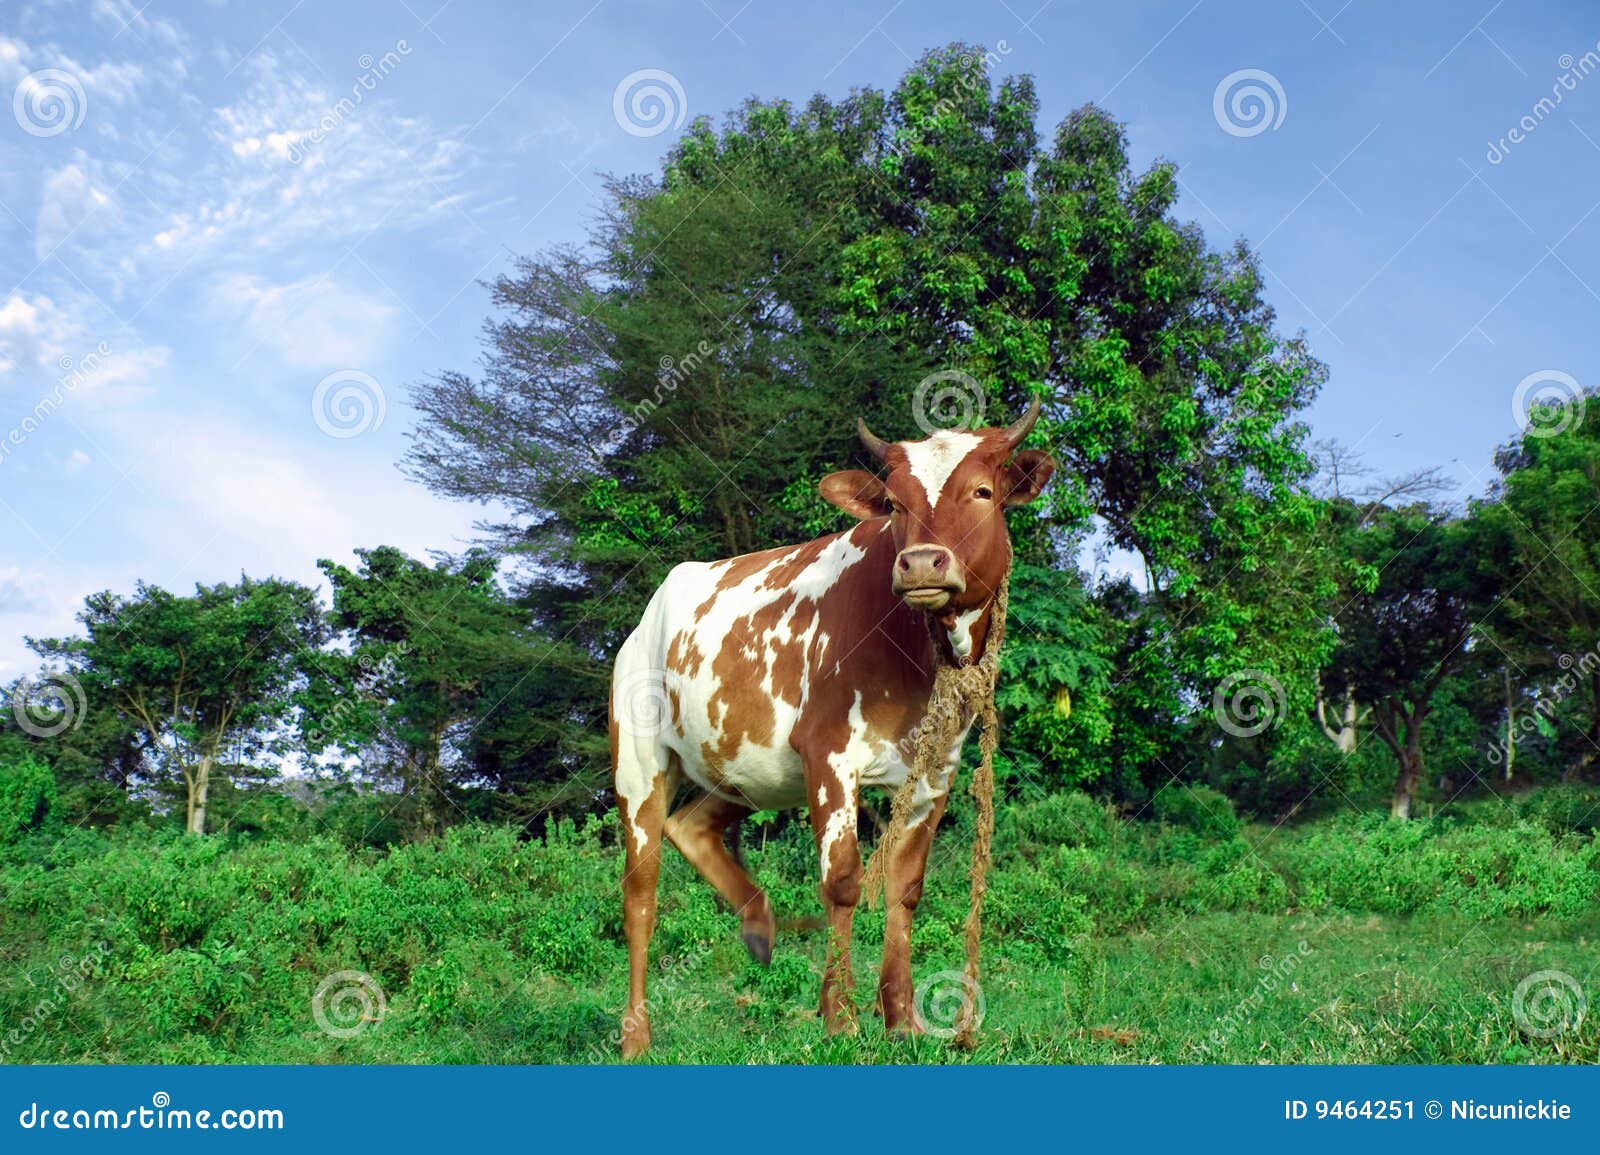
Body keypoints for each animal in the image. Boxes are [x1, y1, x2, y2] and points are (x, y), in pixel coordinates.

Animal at [609, 400, 1054, 1056]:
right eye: (893, 503)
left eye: (982, 491)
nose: (920, 563)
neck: (918, 654)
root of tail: (648, 616)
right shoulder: (829, 756)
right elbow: (842, 882)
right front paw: (839, 1015)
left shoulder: (935, 770)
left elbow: (904, 887)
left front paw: (902, 1018)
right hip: (640, 762)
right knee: (641, 894)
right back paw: (636, 1034)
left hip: (751, 765)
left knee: (689, 825)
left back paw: (759, 926)